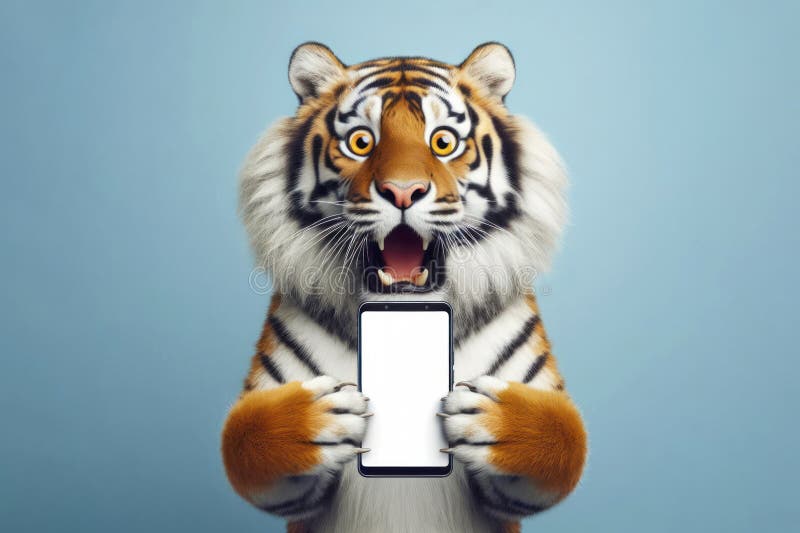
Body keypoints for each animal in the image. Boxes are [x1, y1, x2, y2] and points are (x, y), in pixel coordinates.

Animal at [222, 42, 587, 533]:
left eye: (443, 142)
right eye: (361, 142)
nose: (402, 191)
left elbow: (563, 435)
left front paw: (494, 417)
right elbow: (246, 436)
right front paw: (315, 418)